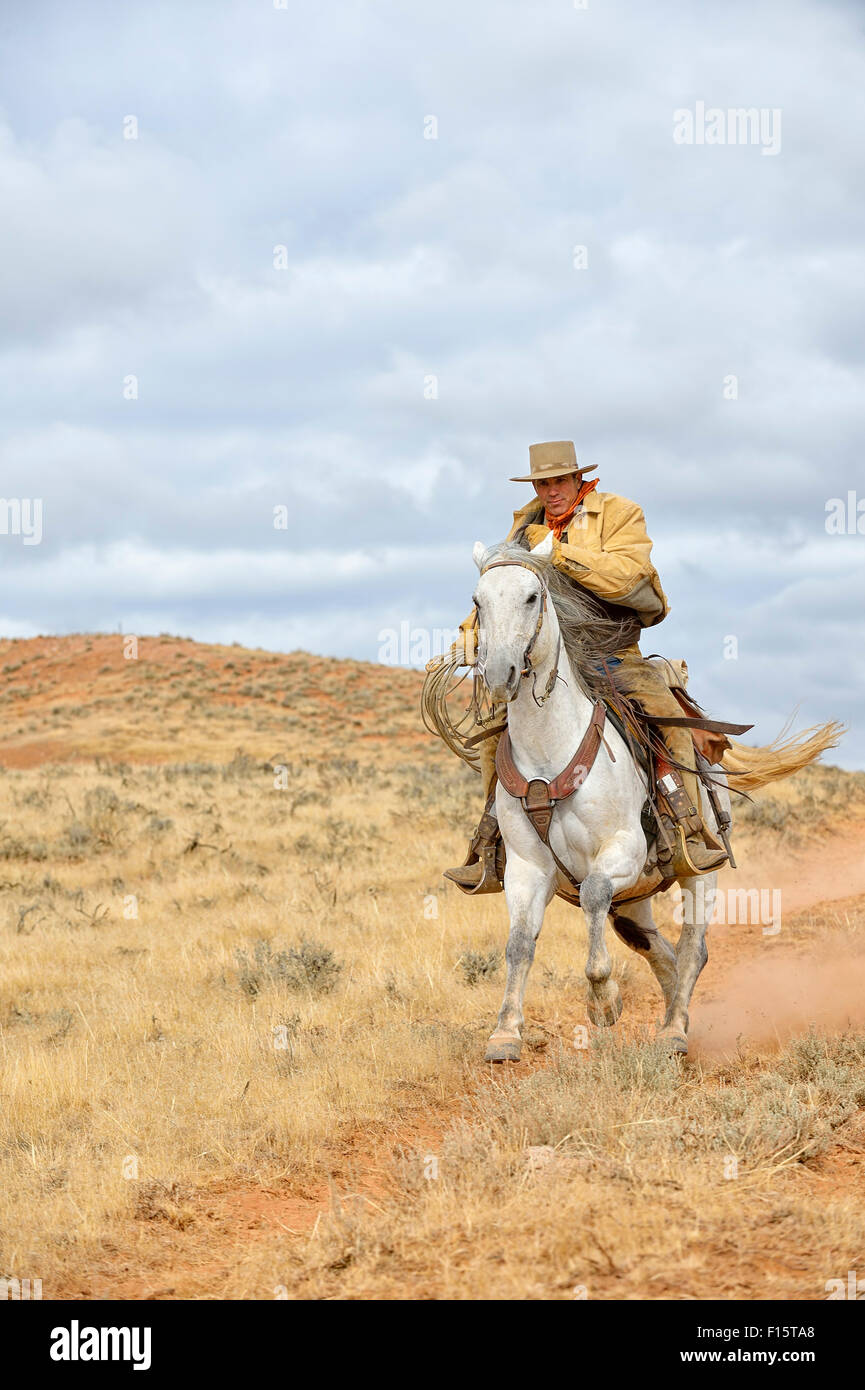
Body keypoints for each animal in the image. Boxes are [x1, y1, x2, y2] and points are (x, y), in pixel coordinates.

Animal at [469, 539, 842, 1061]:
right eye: (479, 601)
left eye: (531, 597)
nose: (499, 673)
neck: (550, 752)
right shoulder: (527, 867)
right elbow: (520, 943)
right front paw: (505, 1033)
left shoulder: (622, 850)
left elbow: (592, 894)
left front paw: (603, 1002)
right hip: (635, 897)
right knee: (655, 947)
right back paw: (671, 1015)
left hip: (697, 872)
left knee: (691, 948)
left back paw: (674, 1030)